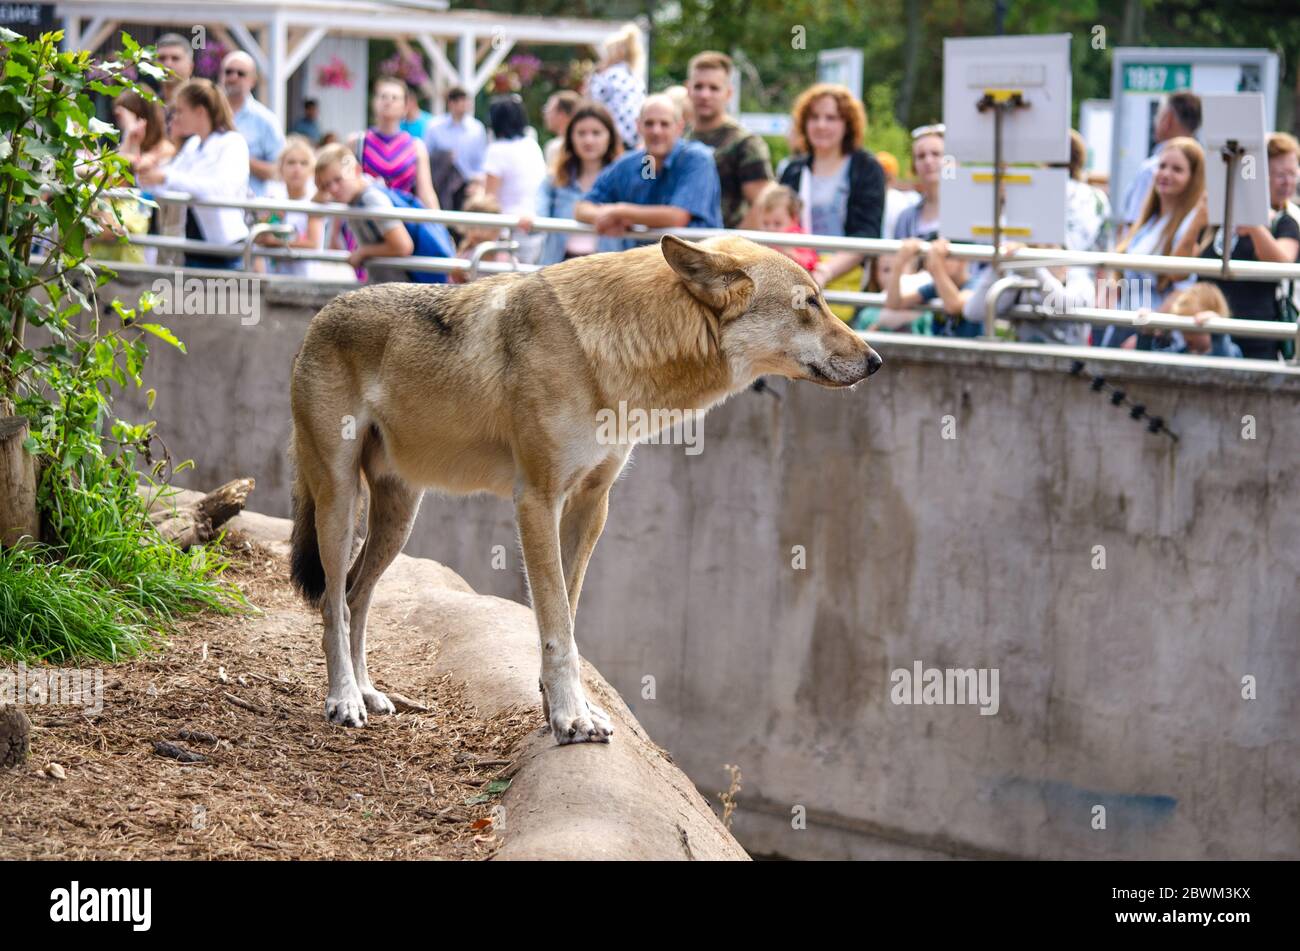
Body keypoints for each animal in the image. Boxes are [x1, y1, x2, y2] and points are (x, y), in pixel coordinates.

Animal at [289, 234, 881, 743]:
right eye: (810, 303)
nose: (876, 361)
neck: (609, 348)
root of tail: (319, 316)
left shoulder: (592, 505)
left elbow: (569, 617)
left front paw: (559, 706)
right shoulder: (537, 500)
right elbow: (555, 622)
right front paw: (571, 718)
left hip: (399, 517)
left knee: (357, 596)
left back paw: (368, 691)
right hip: (340, 503)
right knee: (333, 606)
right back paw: (344, 700)